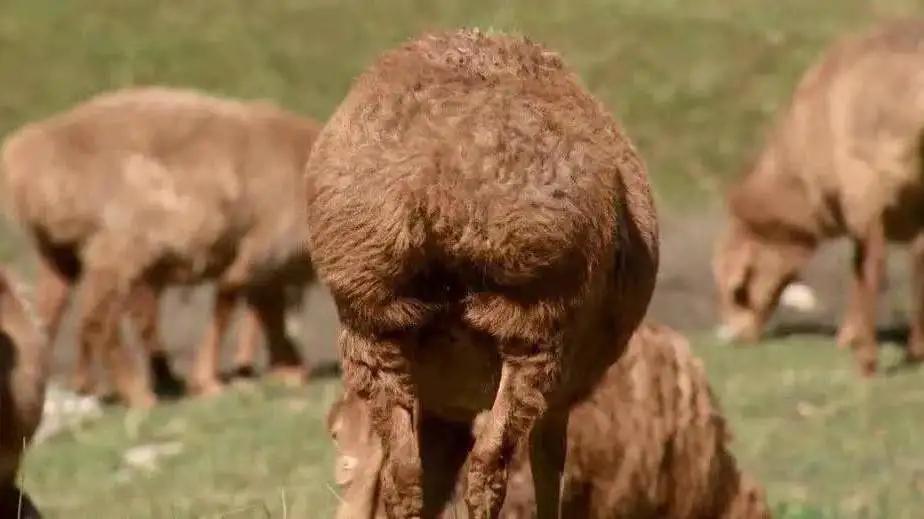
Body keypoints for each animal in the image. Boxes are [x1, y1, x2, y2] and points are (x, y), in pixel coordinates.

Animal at [1, 86, 320, 407]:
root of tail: (27, 158)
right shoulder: (258, 251)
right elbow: (228, 307)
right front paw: (208, 382)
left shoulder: (268, 263)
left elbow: (269, 313)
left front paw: (289, 368)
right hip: (120, 244)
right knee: (99, 319)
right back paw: (138, 394)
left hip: (60, 253)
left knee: (49, 314)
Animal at [305, 28, 659, 518]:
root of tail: (438, 175)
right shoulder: (561, 394)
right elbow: (549, 466)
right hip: (533, 330)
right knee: (488, 465)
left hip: (373, 323)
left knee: (404, 473)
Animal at [713, 19, 924, 376]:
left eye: (738, 292)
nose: (734, 338)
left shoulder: (860, 199)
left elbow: (860, 269)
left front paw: (849, 337)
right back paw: (915, 351)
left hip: (869, 182)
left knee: (874, 268)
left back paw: (867, 360)